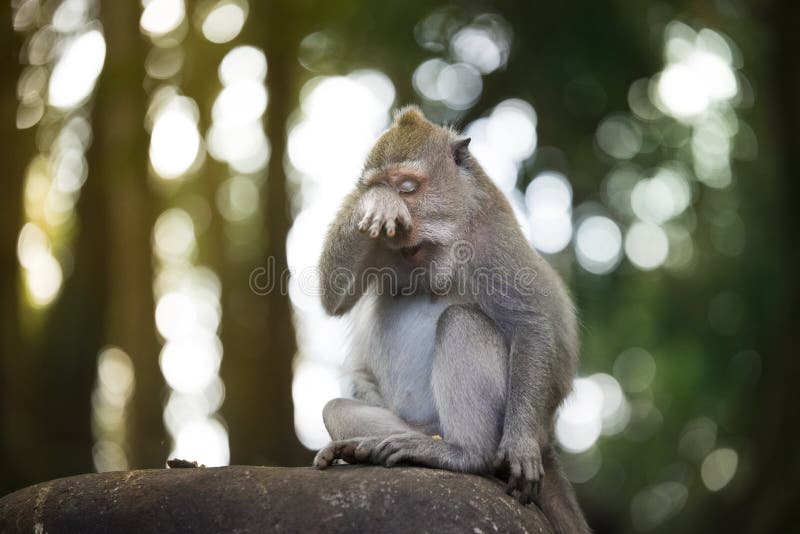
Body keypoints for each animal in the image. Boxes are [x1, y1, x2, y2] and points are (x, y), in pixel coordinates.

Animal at [312, 105, 590, 534]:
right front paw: (375, 201)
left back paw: (466, 454)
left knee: (461, 322)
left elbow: (530, 324)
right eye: (382, 183)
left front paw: (519, 445)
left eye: (408, 187)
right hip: (418, 425)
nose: (402, 223)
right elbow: (335, 294)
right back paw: (366, 449)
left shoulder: (494, 241)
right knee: (338, 411)